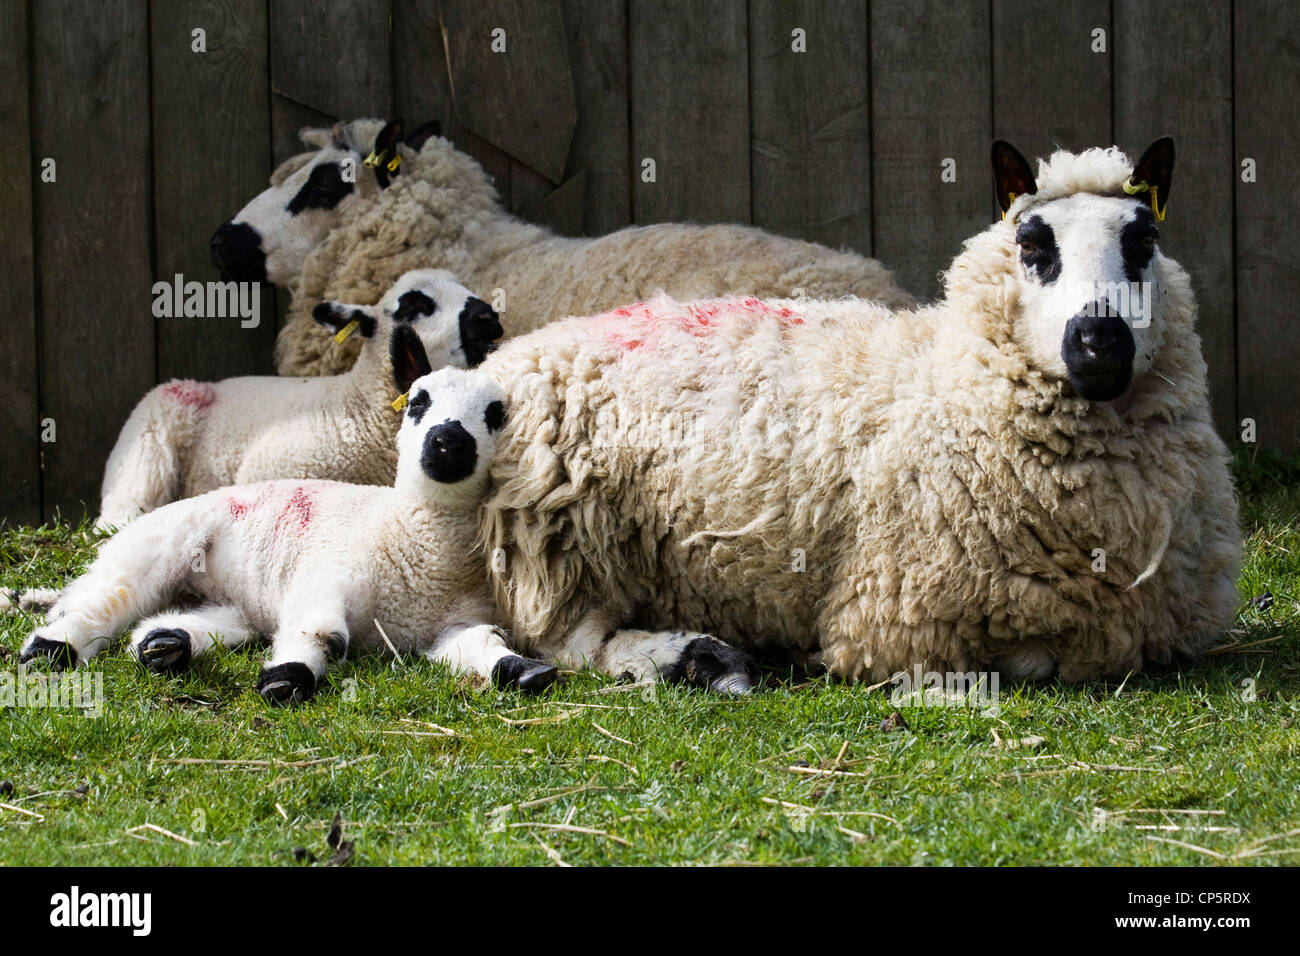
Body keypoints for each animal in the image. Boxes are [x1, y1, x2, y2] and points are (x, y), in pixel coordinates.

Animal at [18, 356, 556, 702]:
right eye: (417, 402)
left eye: (496, 414)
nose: (448, 442)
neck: (413, 541)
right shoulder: (325, 575)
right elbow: (321, 633)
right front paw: (286, 678)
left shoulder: (452, 625)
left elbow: (481, 644)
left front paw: (524, 671)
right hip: (153, 548)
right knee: (108, 599)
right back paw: (52, 648)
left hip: (228, 601)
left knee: (187, 623)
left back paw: (165, 647)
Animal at [476, 137, 1242, 689]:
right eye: (1032, 243)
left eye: (1143, 240)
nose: (1098, 341)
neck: (944, 377)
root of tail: (513, 356)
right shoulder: (899, 621)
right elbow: (1029, 660)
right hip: (555, 541)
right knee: (570, 640)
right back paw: (691, 657)